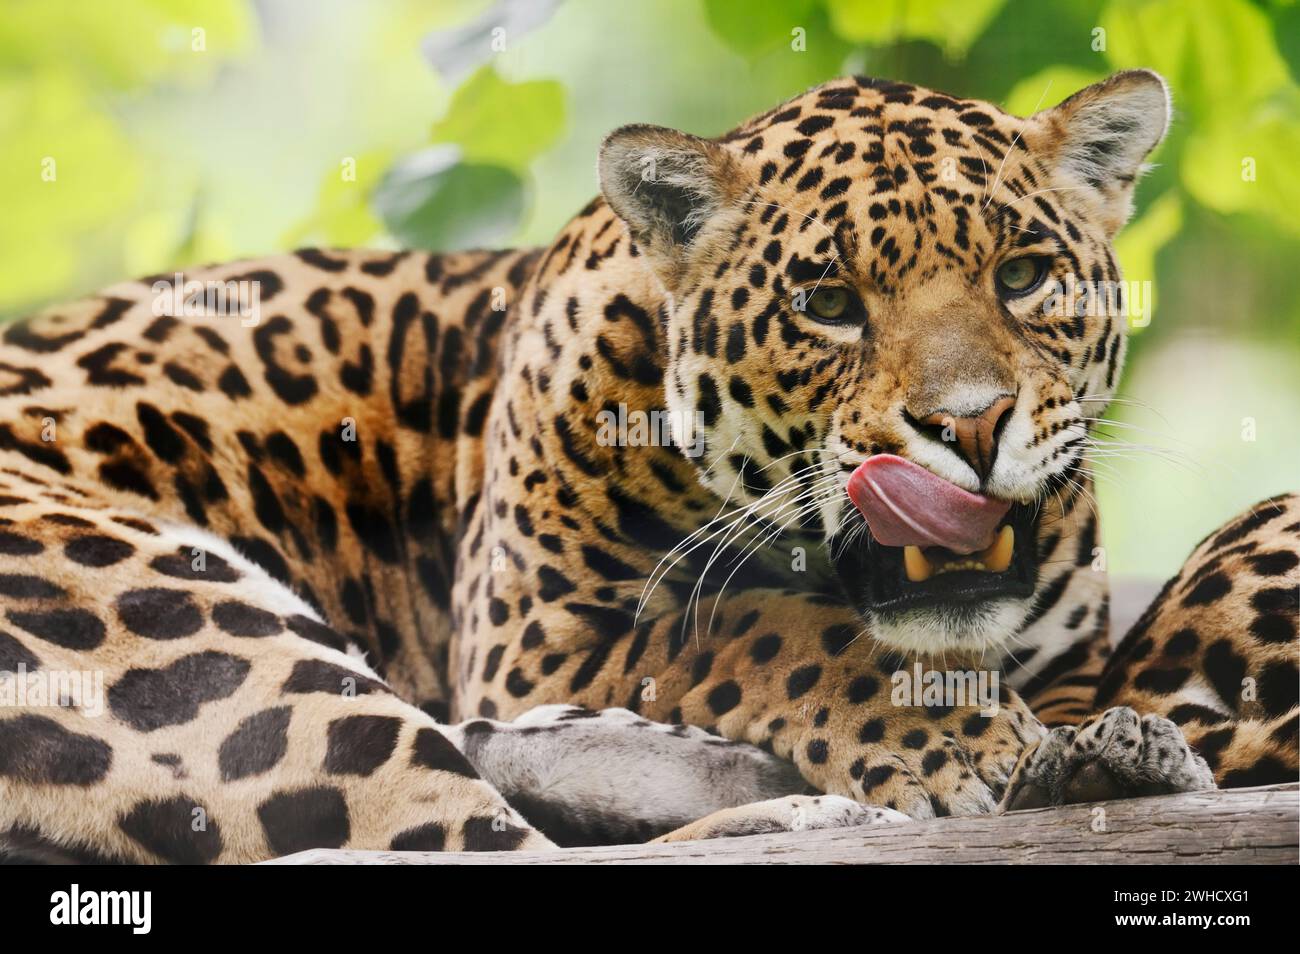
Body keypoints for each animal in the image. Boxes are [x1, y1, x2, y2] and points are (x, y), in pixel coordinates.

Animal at [0, 69, 1295, 862]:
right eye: (828, 304)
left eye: (1022, 276)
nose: (970, 428)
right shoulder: (535, 635)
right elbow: (753, 627)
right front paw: (962, 742)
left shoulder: (1072, 663)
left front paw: (1075, 745)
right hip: (172, 614)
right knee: (452, 843)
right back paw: (777, 812)